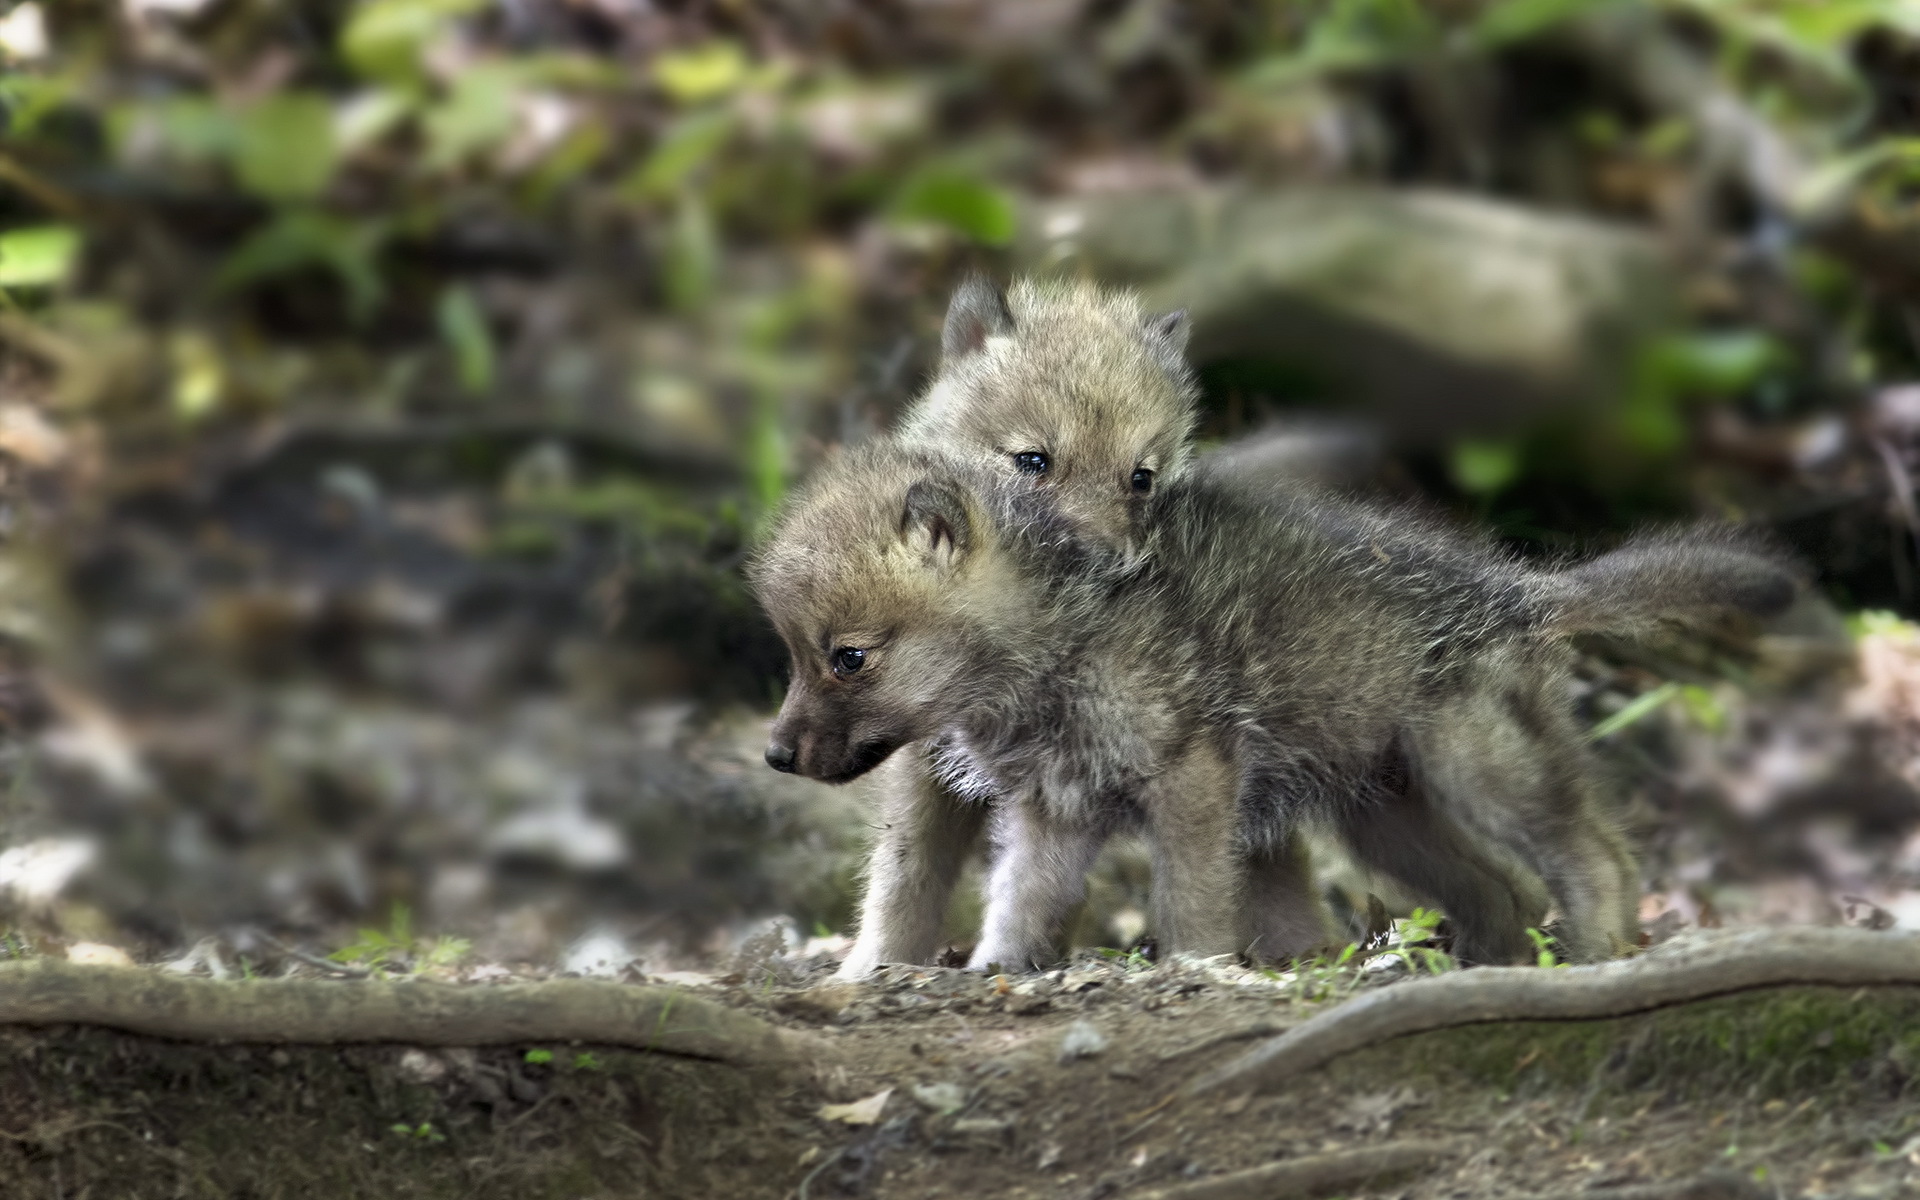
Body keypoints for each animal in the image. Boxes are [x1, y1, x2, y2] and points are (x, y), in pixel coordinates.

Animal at [751, 440, 1797, 973]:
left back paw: (1595, 950)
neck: (1063, 629)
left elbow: (1191, 899)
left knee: (1595, 851)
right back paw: (1479, 967)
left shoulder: (1194, 776)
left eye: (847, 658)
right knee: (1499, 888)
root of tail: (1520, 591)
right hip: (1385, 815)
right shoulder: (1058, 808)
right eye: (792, 656)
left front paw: (1197, 974)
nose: (774, 757)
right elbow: (1021, 904)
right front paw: (991, 976)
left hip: (1479, 769)